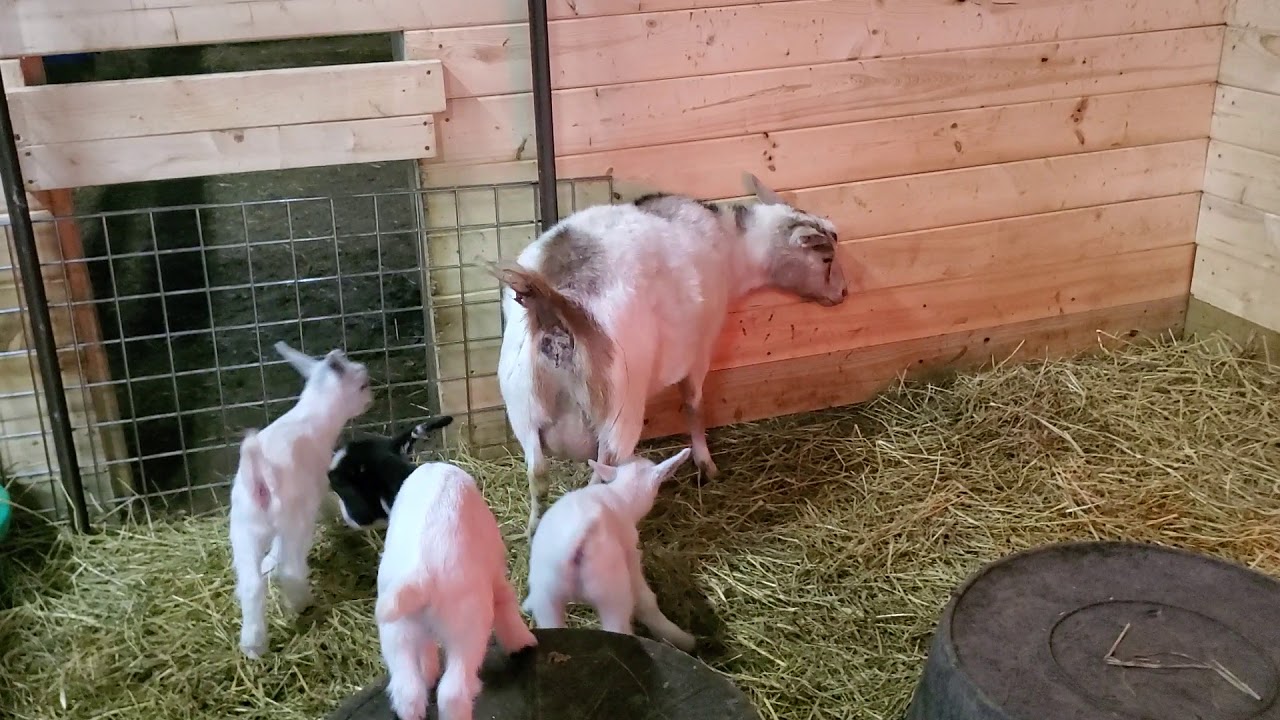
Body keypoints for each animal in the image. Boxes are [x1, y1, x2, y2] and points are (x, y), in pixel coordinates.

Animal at [228, 341, 372, 659]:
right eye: (363, 384)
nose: (371, 397)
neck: (310, 414)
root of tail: (261, 481)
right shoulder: (318, 484)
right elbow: (328, 503)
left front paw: (269, 561)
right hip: (293, 520)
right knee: (291, 571)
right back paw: (301, 603)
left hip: (244, 526)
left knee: (252, 584)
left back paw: (253, 644)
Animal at [375, 462, 537, 720]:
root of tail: (421, 576)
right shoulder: (495, 574)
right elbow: (505, 602)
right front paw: (523, 643)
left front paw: (429, 673)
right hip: (466, 631)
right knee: (453, 693)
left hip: (395, 630)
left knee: (407, 690)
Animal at [492, 172, 849, 535]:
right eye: (826, 259)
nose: (843, 293)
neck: (732, 244)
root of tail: (559, 310)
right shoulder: (700, 349)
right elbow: (693, 405)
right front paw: (706, 465)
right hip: (619, 414)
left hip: (523, 409)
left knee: (538, 477)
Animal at [522, 447, 695, 652]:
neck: (619, 493)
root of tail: (576, 539)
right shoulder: (631, 551)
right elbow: (645, 600)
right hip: (611, 592)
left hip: (547, 594)